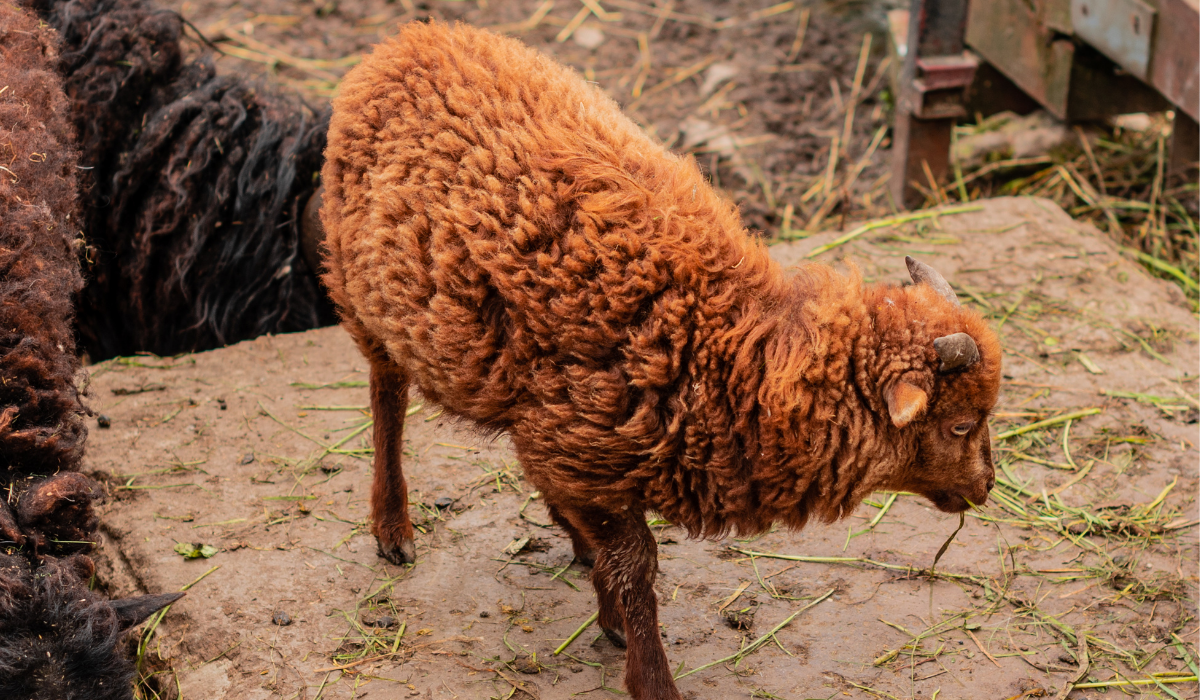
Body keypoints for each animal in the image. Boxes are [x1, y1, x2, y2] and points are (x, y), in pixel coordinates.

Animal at [320, 21, 1002, 700]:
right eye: (960, 425)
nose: (988, 486)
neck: (732, 352)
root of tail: (412, 38)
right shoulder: (590, 454)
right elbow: (638, 568)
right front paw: (648, 674)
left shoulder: (577, 451)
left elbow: (618, 554)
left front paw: (607, 612)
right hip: (363, 296)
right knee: (387, 400)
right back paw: (393, 531)